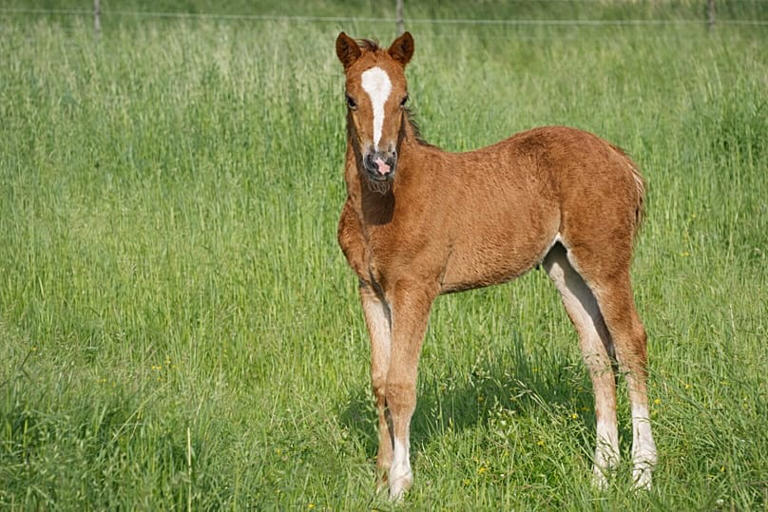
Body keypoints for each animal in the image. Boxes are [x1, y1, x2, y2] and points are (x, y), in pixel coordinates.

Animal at [334, 31, 657, 500]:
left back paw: (641, 474)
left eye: (403, 97)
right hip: (565, 269)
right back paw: (601, 473)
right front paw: (379, 482)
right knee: (598, 354)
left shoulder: (415, 289)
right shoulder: (371, 291)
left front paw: (399, 484)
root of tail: (618, 157)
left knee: (631, 344)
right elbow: (379, 382)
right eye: (350, 99)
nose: (380, 162)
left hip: (605, 264)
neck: (383, 204)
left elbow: (401, 385)